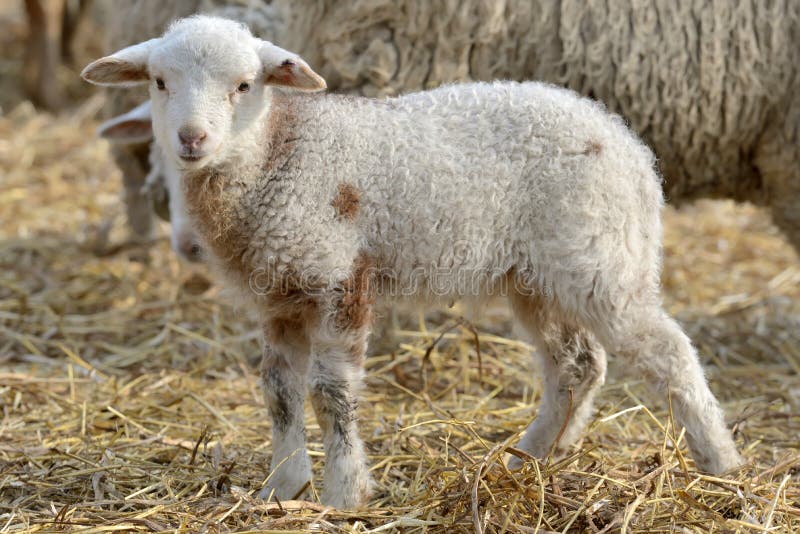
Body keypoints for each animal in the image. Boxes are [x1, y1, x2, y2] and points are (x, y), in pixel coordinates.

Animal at [82, 15, 743, 509]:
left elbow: (331, 393)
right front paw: (282, 486)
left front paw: (343, 494)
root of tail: (626, 141)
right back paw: (530, 459)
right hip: (535, 275)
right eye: (158, 82)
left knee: (668, 351)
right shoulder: (281, 291)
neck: (277, 151)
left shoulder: (339, 277)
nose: (191, 140)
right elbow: (279, 391)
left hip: (601, 259)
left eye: (245, 85)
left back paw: (720, 463)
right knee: (577, 365)